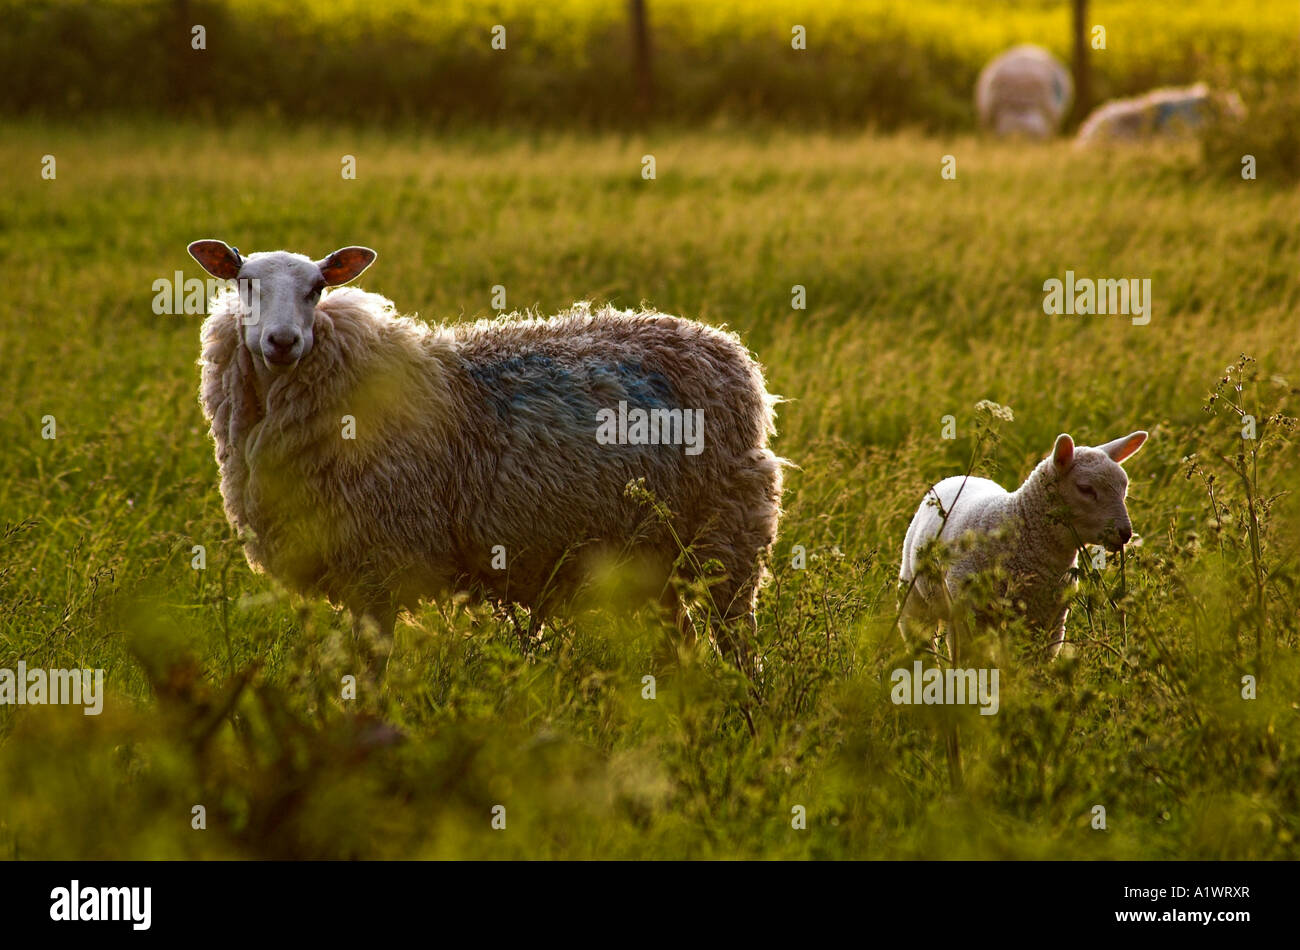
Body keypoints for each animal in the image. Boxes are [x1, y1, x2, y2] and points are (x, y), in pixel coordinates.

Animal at [188, 240, 784, 664]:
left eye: (316, 289)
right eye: (243, 282)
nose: (283, 342)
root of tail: (724, 346)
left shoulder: (379, 558)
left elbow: (372, 665)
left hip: (728, 529)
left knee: (736, 640)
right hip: (656, 553)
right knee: (683, 643)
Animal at [898, 430, 1147, 658]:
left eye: (1124, 487)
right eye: (1085, 489)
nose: (1124, 533)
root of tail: (959, 477)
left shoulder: (1049, 622)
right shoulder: (970, 613)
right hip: (916, 598)